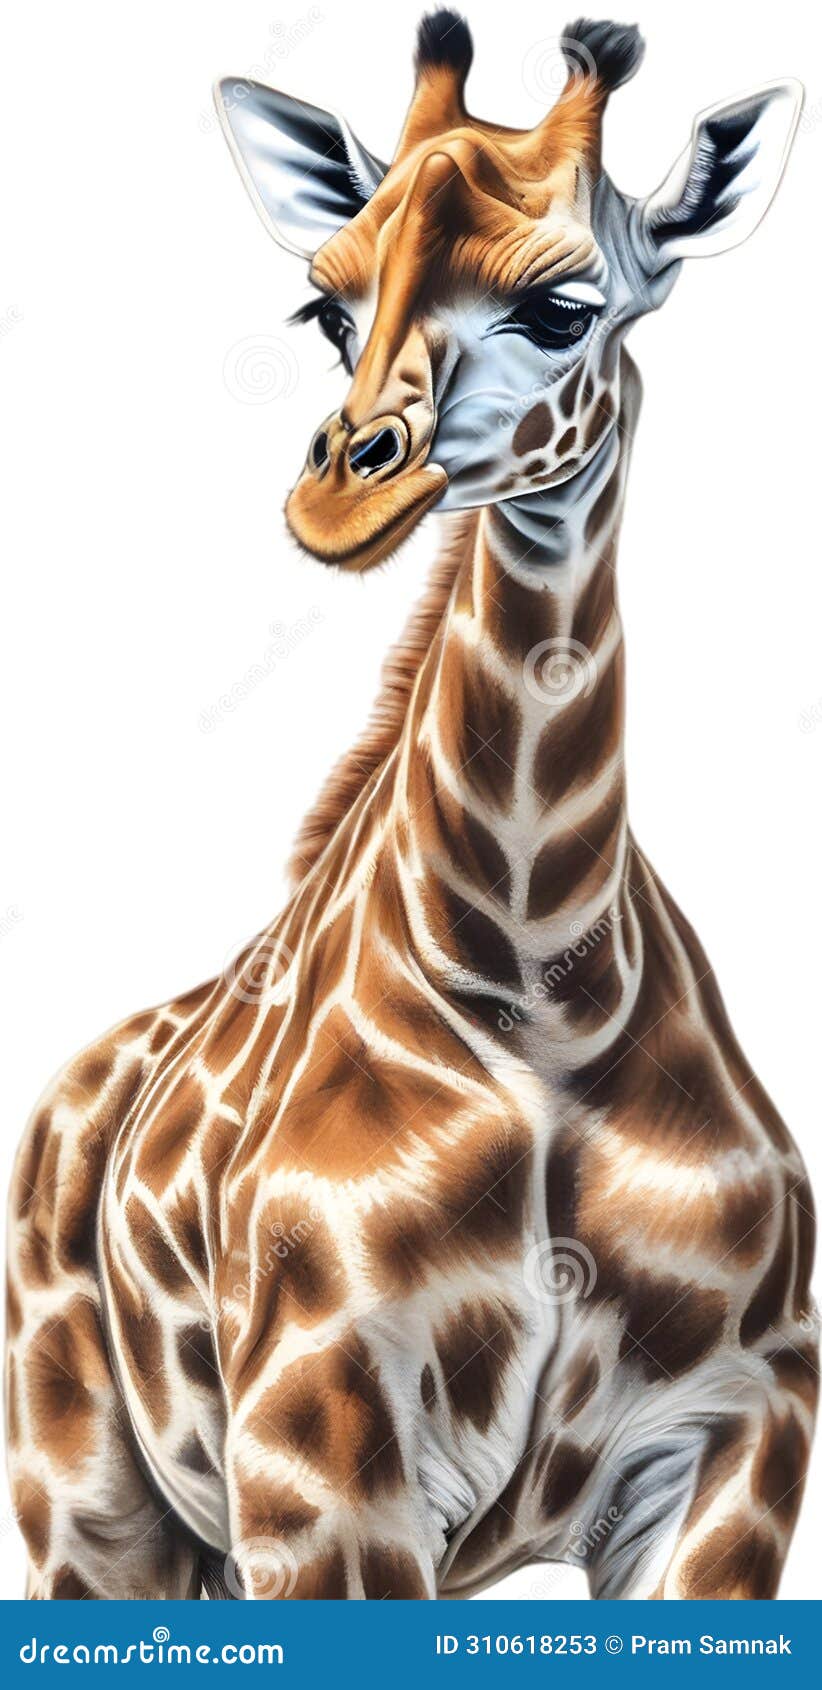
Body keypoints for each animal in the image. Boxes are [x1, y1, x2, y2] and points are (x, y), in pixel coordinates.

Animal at [6, 13, 817, 1601]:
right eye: (328, 310)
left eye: (564, 308)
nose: (336, 496)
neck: (543, 977)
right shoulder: (322, 1446)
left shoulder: (743, 1427)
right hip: (85, 1493)